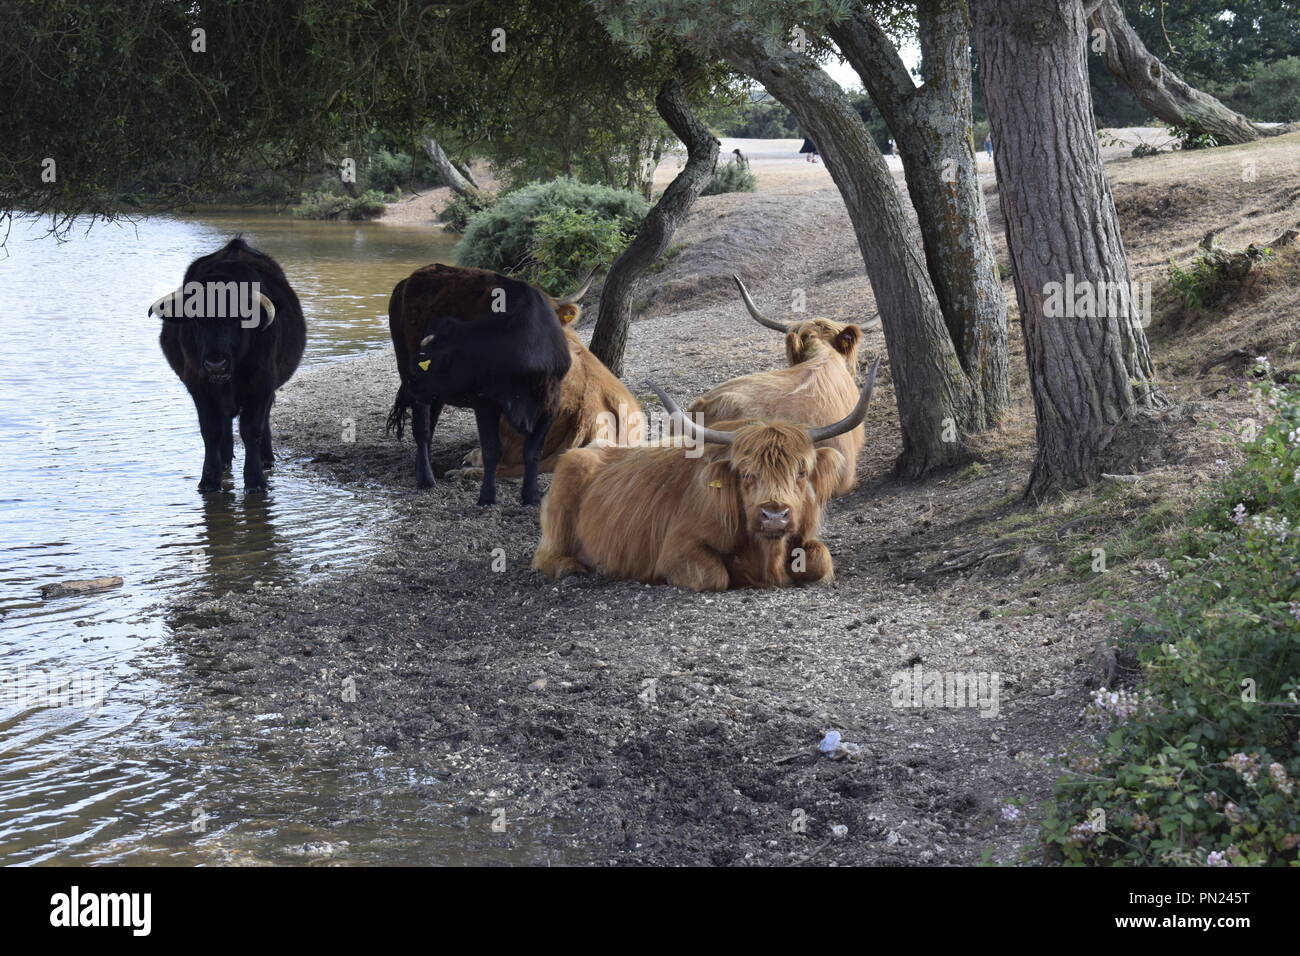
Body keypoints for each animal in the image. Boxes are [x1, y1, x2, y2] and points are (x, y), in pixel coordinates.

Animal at [152, 237, 306, 492]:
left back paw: (266, 458)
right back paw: (225, 460)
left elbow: (251, 429)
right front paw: (209, 479)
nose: (216, 364)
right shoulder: (198, 385)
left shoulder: (262, 383)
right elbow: (210, 430)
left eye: (240, 318)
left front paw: (255, 480)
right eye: (196, 319)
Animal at [387, 265, 571, 505]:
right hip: (406, 368)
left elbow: (532, 451)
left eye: (446, 360)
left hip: (432, 393)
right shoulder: (484, 401)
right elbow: (492, 450)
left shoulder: (550, 402)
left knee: (430, 424)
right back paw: (426, 479)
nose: (415, 378)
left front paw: (531, 496)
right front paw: (487, 496)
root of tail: (407, 281)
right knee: (422, 429)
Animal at [532, 357, 881, 591]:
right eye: (746, 473)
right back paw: (574, 567)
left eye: (802, 471)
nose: (774, 515)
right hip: (562, 507)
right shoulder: (676, 549)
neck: (766, 553)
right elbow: (716, 576)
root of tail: (590, 448)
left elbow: (822, 560)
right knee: (546, 555)